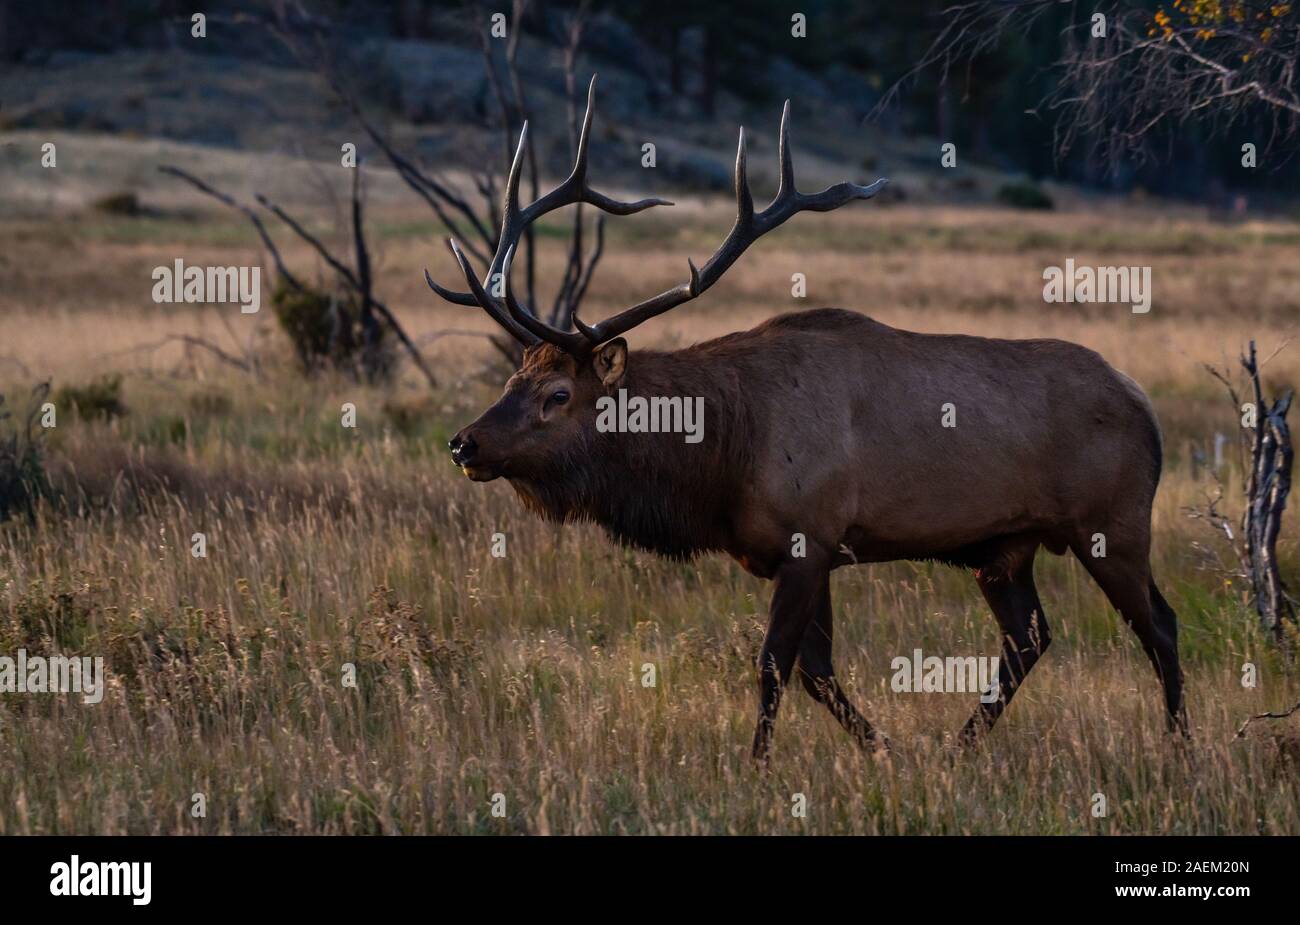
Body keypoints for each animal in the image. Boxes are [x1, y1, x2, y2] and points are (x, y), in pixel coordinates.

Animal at [427, 77, 1187, 761]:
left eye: (558, 393)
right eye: (513, 377)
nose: (464, 443)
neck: (723, 457)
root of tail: (1145, 404)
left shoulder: (807, 537)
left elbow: (774, 665)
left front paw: (755, 768)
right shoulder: (807, 550)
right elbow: (817, 673)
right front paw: (887, 751)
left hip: (1112, 523)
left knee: (1160, 624)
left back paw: (1179, 747)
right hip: (1004, 548)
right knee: (1029, 638)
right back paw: (958, 747)